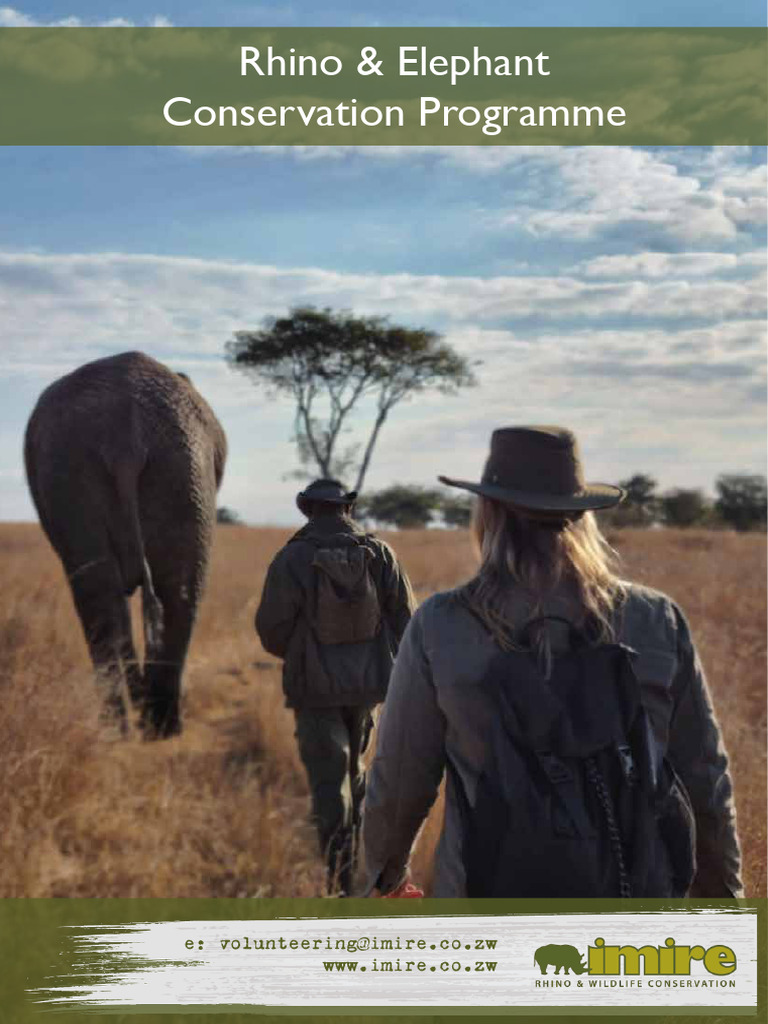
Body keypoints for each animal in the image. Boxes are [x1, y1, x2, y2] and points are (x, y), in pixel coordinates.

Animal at [24, 351, 227, 738]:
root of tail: (126, 434)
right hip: (176, 466)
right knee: (166, 593)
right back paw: (148, 727)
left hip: (143, 467)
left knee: (132, 596)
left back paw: (137, 726)